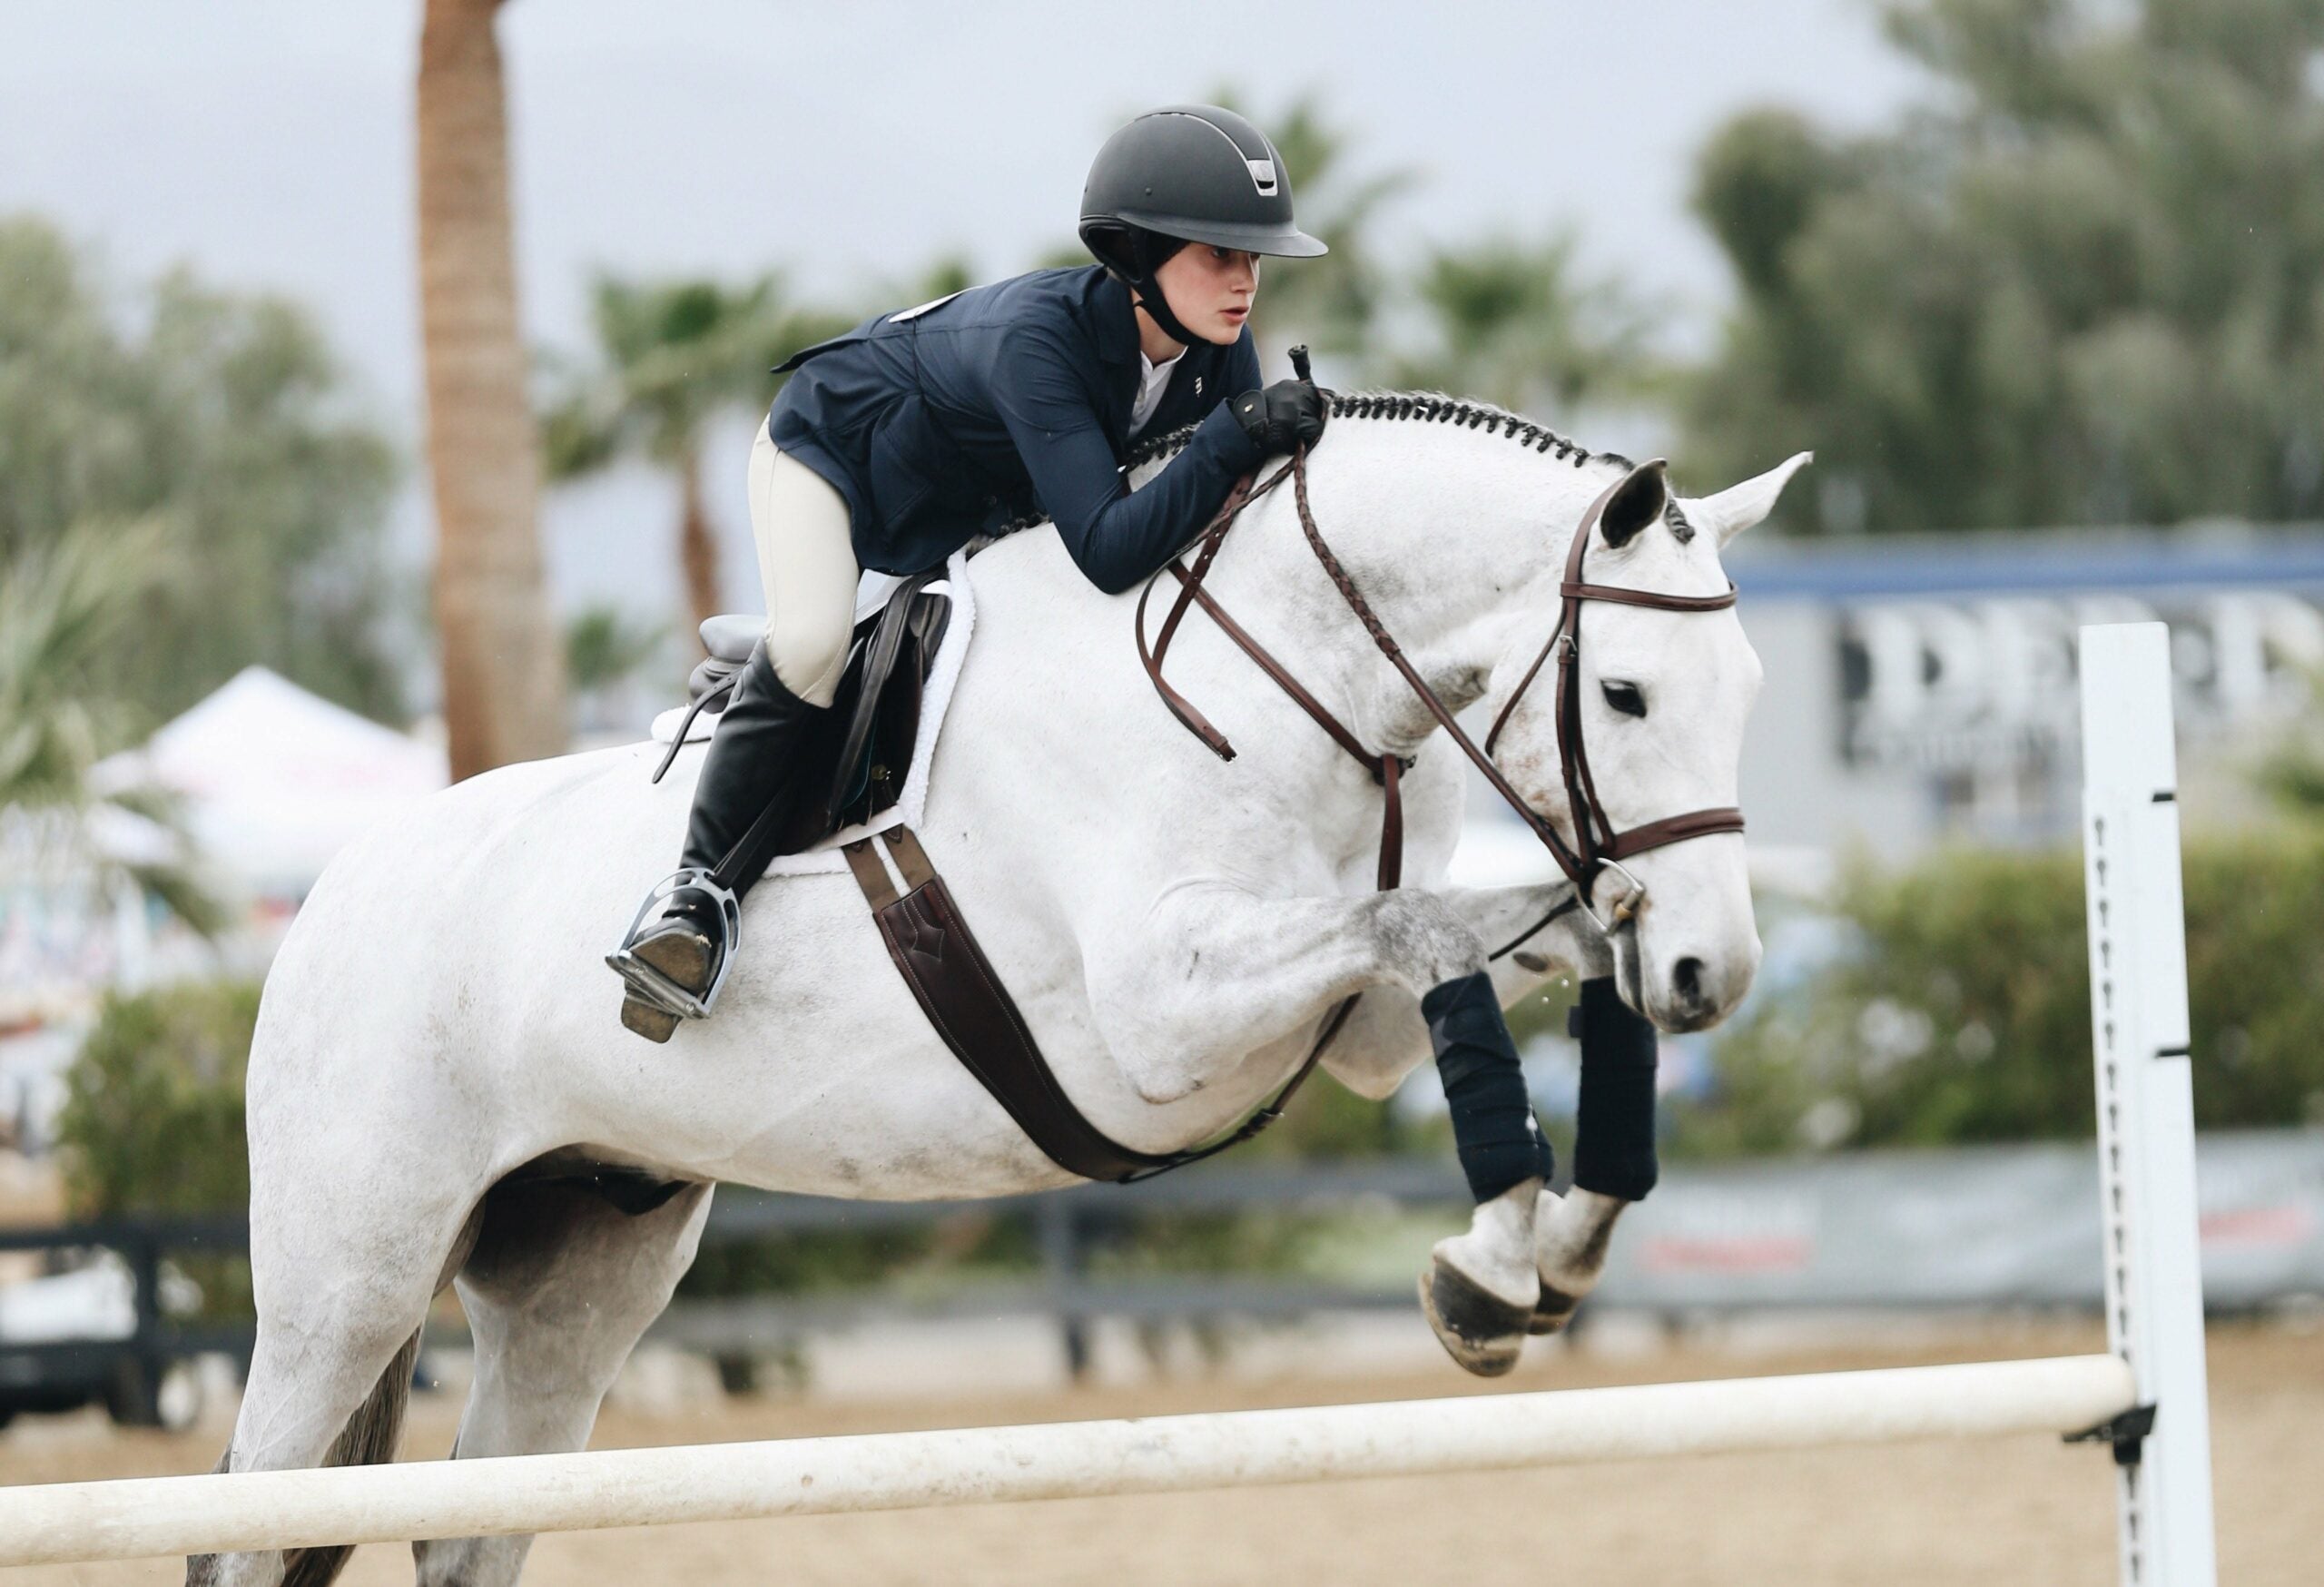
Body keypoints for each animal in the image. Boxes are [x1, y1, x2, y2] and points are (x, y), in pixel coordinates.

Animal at [195, 396, 1807, 1586]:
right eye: (1625, 695)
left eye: (1748, 694)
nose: (1713, 974)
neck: (1272, 682)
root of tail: (334, 894)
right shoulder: (1164, 1022)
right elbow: (1433, 931)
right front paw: (1489, 1267)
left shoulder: (1340, 1028)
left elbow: (1534, 939)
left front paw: (1565, 1236)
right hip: (349, 1280)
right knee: (253, 1512)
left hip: (583, 1265)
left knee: (469, 1525)